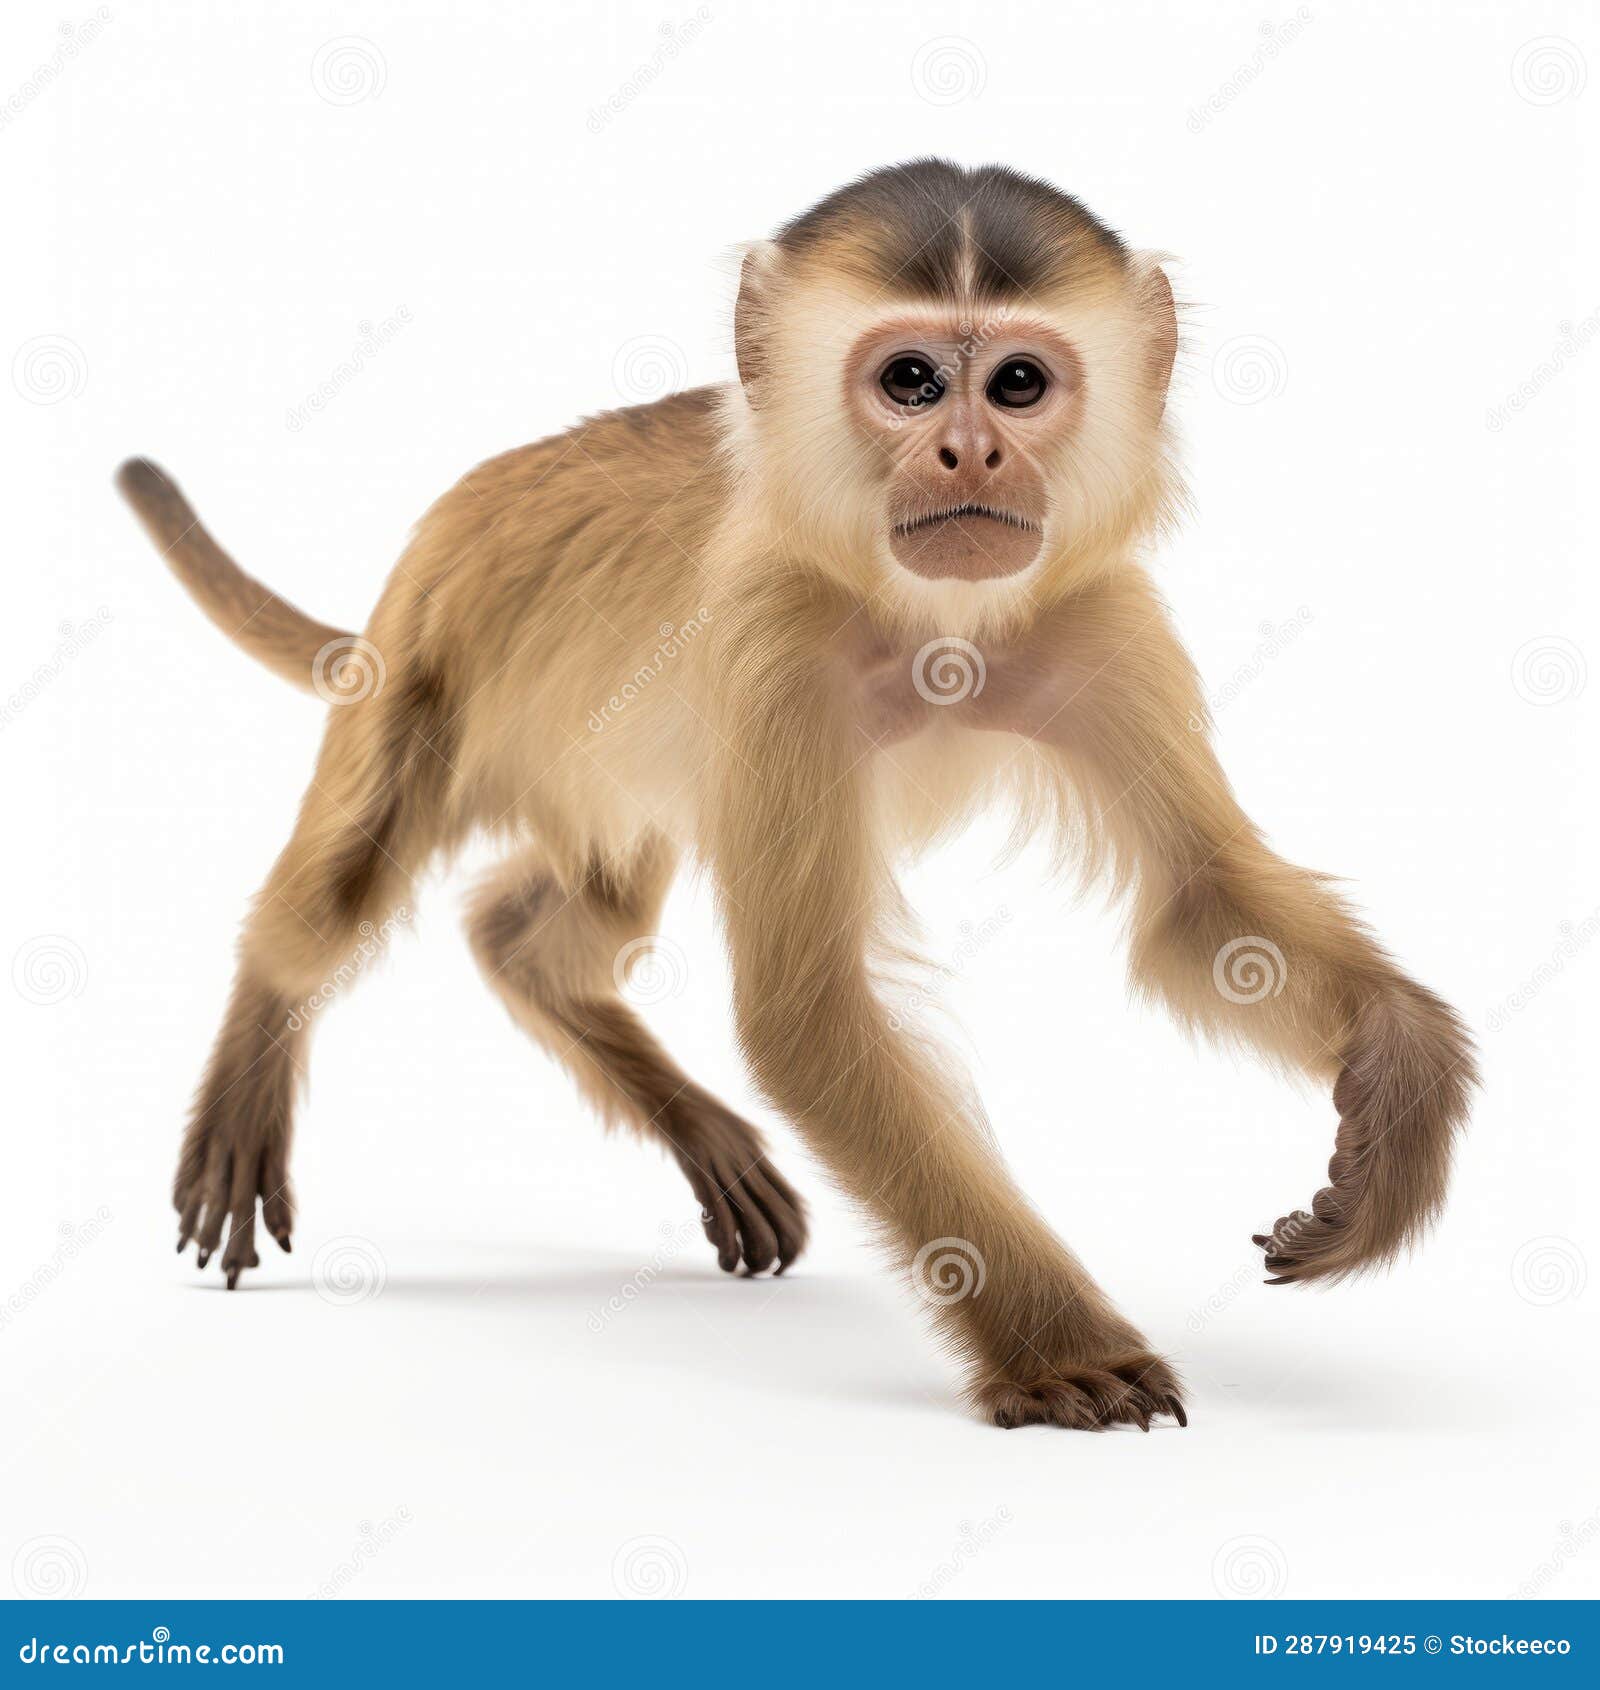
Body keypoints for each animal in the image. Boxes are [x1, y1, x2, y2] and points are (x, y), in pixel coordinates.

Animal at [118, 158, 1476, 1432]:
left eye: (1018, 384)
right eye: (912, 381)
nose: (970, 450)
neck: (931, 621)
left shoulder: (1104, 622)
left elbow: (1203, 910)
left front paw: (1393, 1094)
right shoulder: (773, 644)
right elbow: (807, 1012)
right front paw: (1058, 1349)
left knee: (556, 921)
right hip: (431, 657)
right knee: (341, 894)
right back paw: (259, 1040)